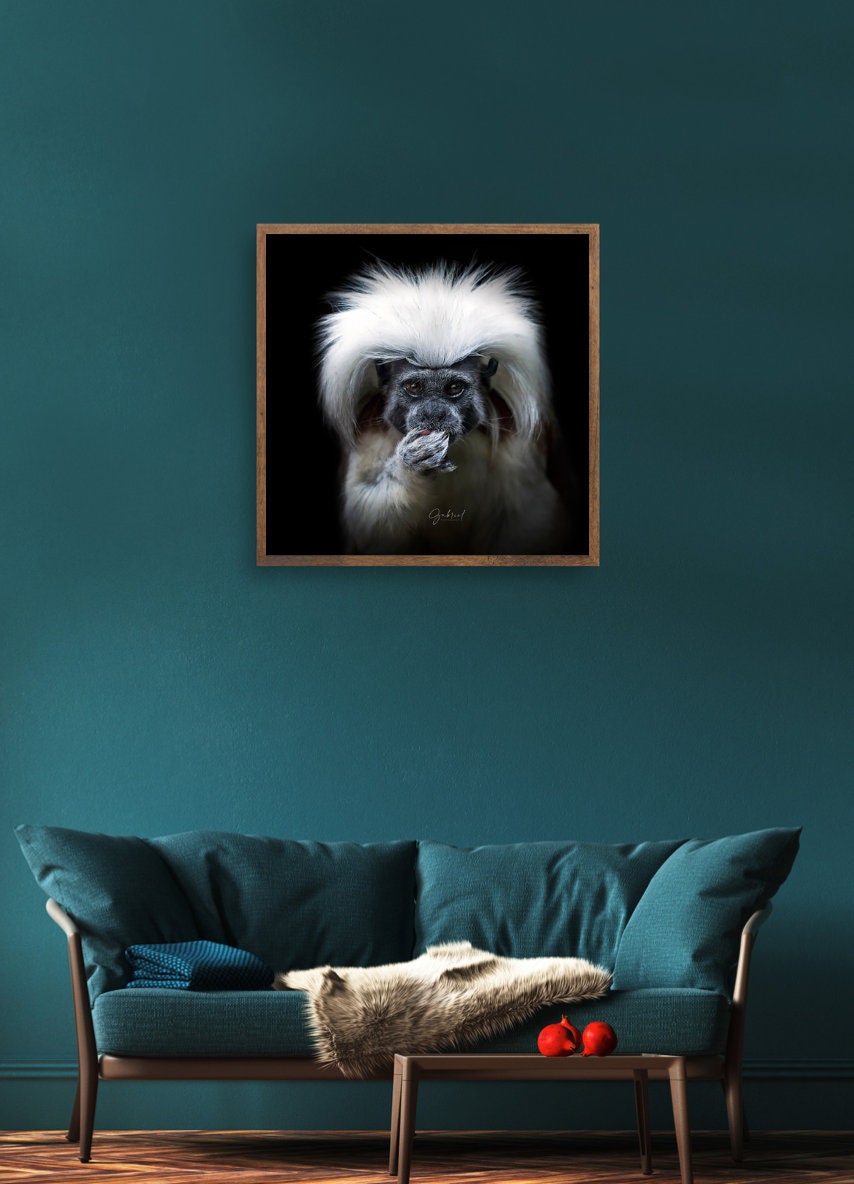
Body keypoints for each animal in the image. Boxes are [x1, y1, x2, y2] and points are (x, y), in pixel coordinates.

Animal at [317, 261, 568, 556]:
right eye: (414, 387)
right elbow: (370, 518)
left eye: (454, 388)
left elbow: (527, 518)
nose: (434, 414)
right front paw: (411, 465)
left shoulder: (518, 442)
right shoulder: (370, 434)